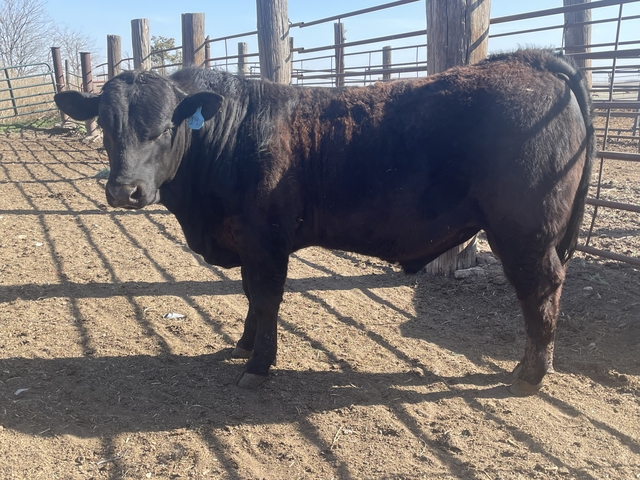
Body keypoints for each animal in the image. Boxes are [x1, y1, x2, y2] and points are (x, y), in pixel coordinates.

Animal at [55, 49, 594, 396]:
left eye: (167, 127)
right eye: (106, 125)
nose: (124, 191)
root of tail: (532, 60)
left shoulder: (265, 239)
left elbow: (265, 298)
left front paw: (258, 365)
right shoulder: (247, 242)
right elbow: (250, 297)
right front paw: (243, 344)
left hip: (525, 232)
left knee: (541, 291)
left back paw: (529, 375)